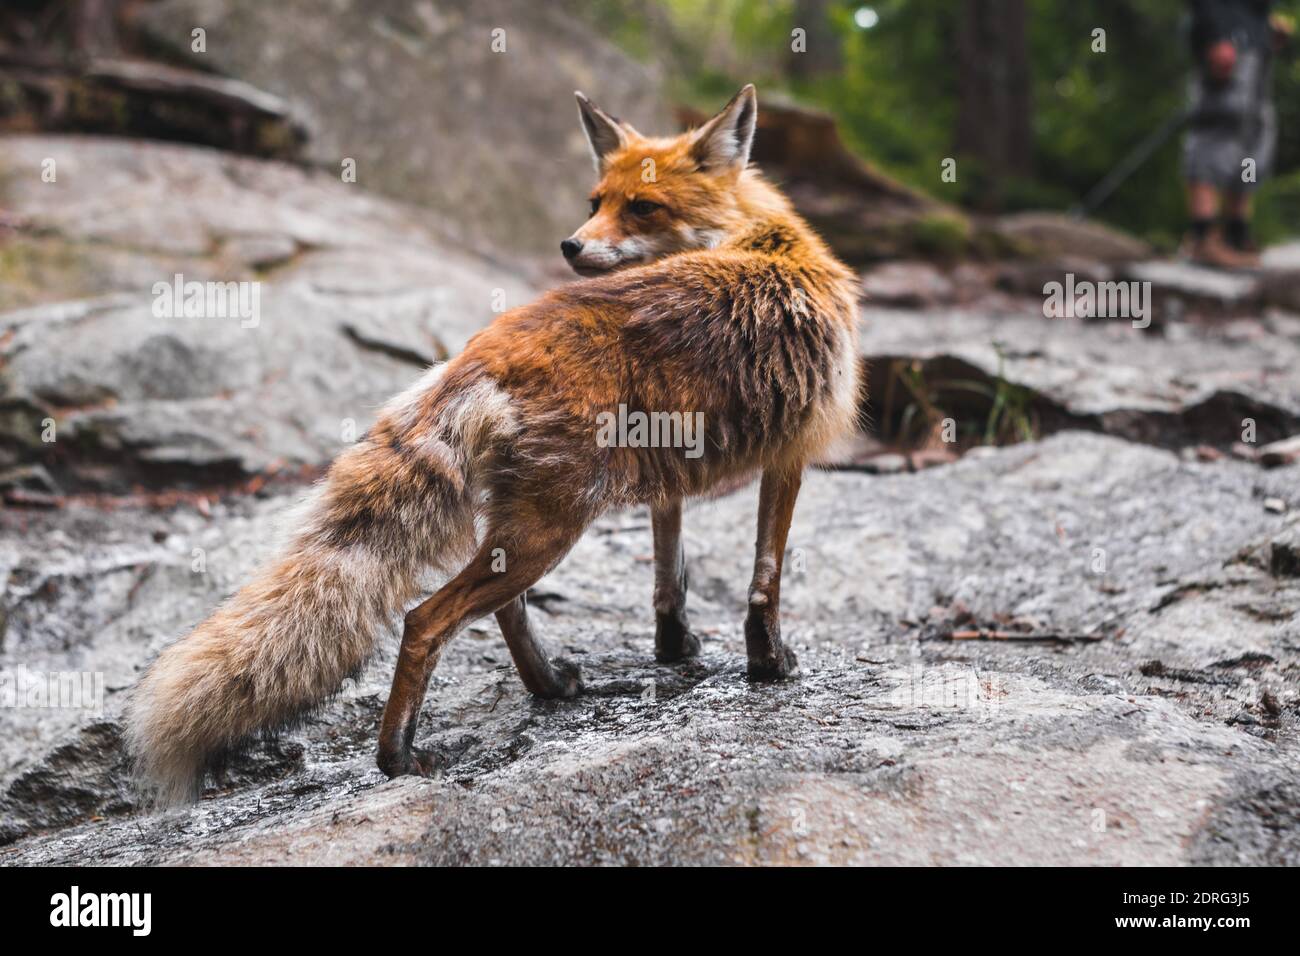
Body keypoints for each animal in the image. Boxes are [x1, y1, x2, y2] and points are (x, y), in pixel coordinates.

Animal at [126, 85, 861, 803]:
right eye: (596, 203)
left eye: (643, 207)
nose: (570, 246)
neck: (760, 239)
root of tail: (485, 348)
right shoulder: (793, 454)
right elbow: (764, 580)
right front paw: (768, 664)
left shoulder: (674, 475)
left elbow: (668, 577)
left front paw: (675, 647)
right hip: (555, 523)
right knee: (426, 619)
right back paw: (397, 756)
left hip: (530, 519)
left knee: (504, 609)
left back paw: (548, 687)